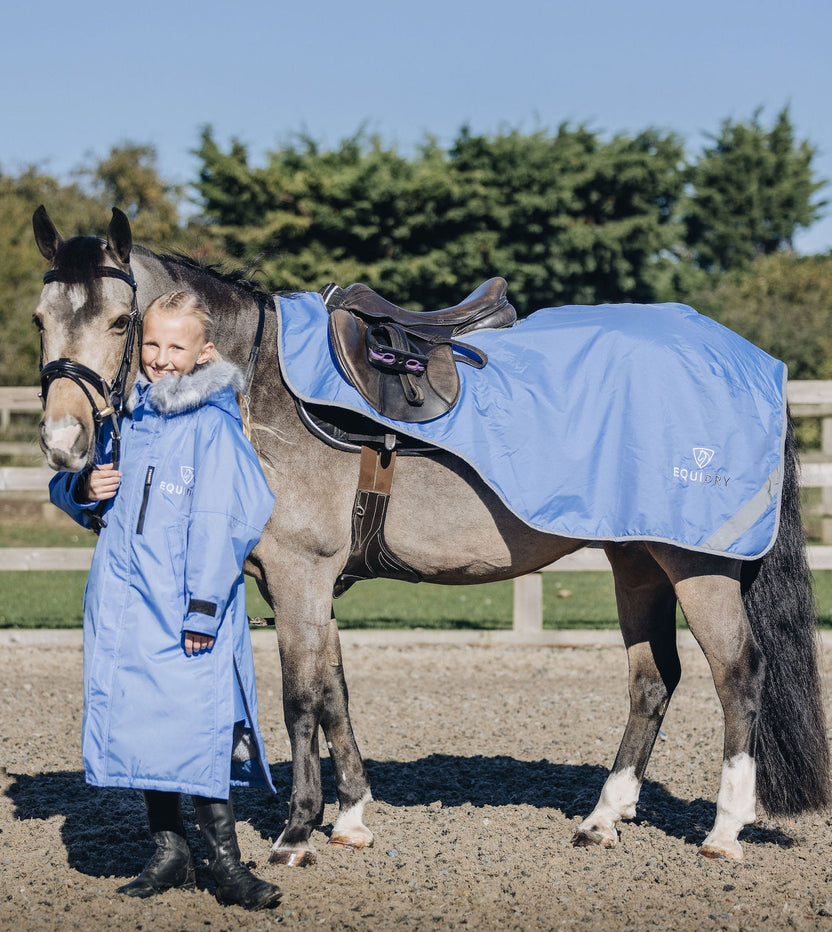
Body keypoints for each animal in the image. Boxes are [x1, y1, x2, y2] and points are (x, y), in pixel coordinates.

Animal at [30, 205, 830, 866]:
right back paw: (604, 818)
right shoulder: (312, 587)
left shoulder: (299, 576)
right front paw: (352, 816)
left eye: (121, 322)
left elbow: (300, 698)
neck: (261, 386)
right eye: (40, 319)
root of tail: (749, 360)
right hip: (637, 560)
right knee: (652, 679)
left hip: (698, 566)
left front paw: (297, 831)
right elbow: (335, 692)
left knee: (738, 674)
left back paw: (724, 831)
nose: (65, 444)